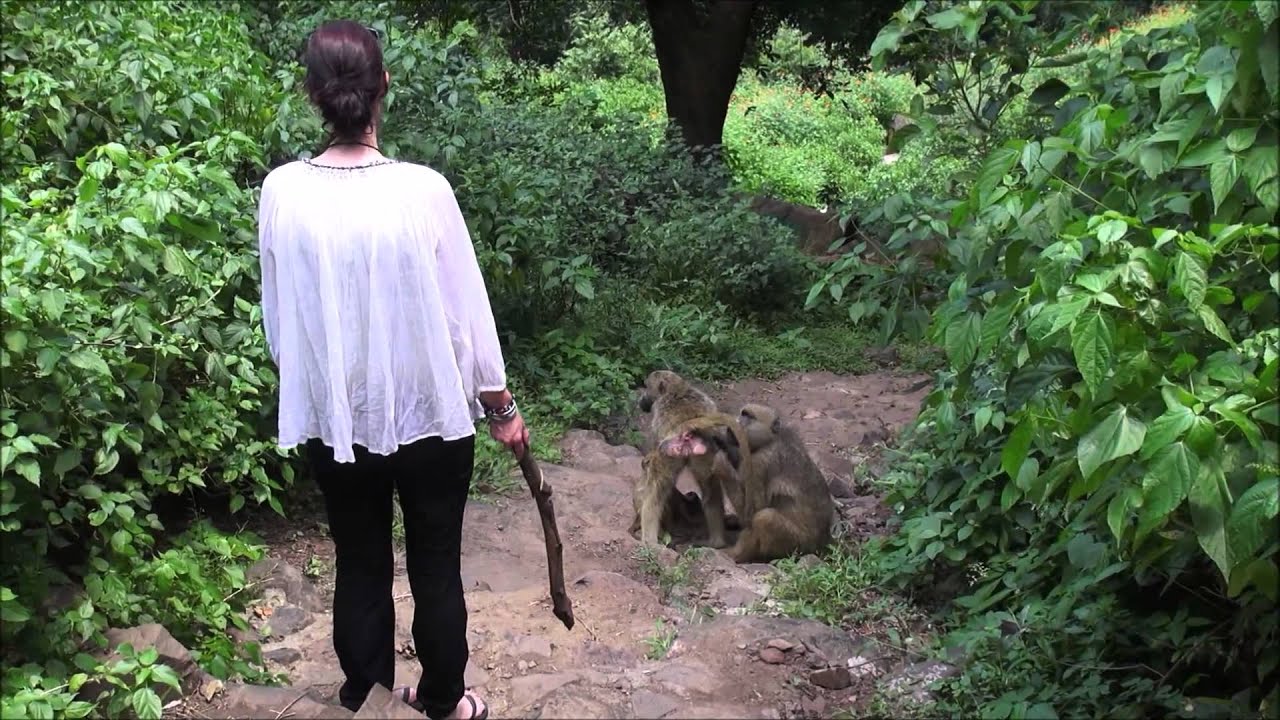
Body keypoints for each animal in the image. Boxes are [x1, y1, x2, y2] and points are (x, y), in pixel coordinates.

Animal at [632, 371, 752, 549]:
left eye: (646, 386)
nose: (641, 400)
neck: (677, 389)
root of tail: (690, 427)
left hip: (670, 453)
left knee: (656, 489)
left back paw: (649, 540)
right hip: (705, 453)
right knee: (711, 489)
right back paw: (717, 541)